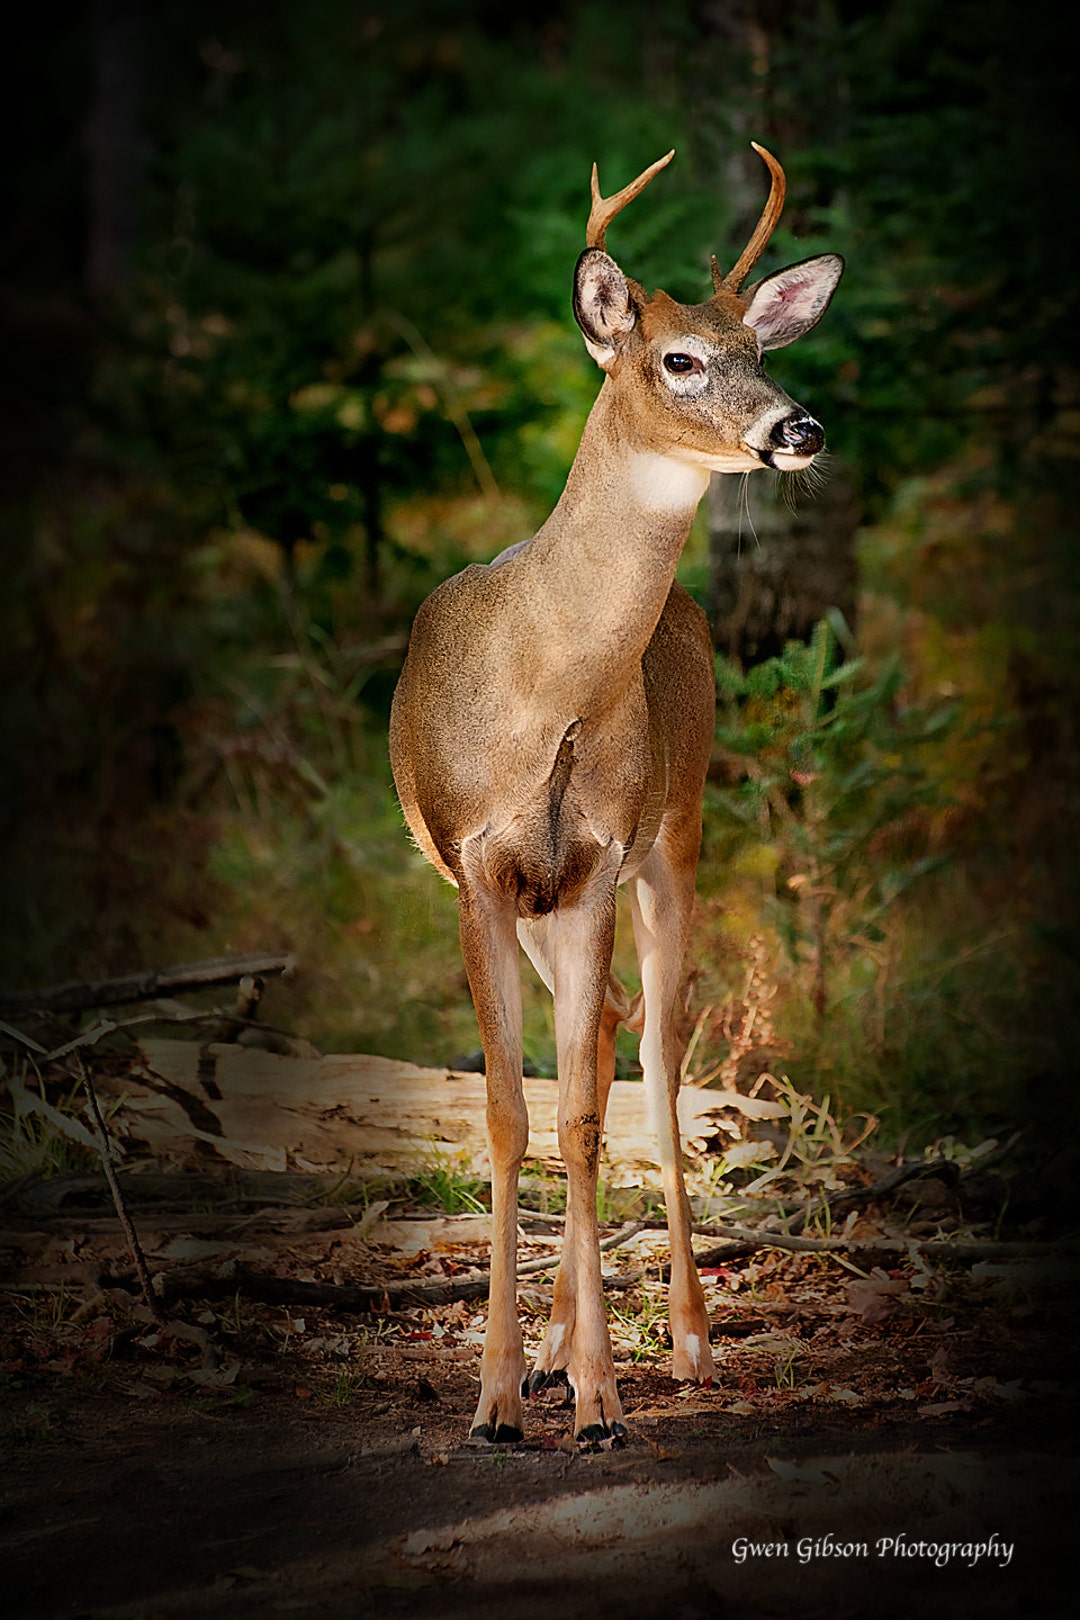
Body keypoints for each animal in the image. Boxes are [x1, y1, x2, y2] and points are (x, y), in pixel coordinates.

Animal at [389, 144, 842, 1444]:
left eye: (762, 350)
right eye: (678, 358)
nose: (798, 425)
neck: (548, 691)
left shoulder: (596, 859)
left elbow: (586, 1115)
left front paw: (599, 1397)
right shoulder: (481, 867)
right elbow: (511, 1112)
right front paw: (499, 1396)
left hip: (678, 839)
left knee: (650, 1058)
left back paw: (683, 1338)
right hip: (555, 907)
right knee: (582, 1059)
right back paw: (549, 1352)